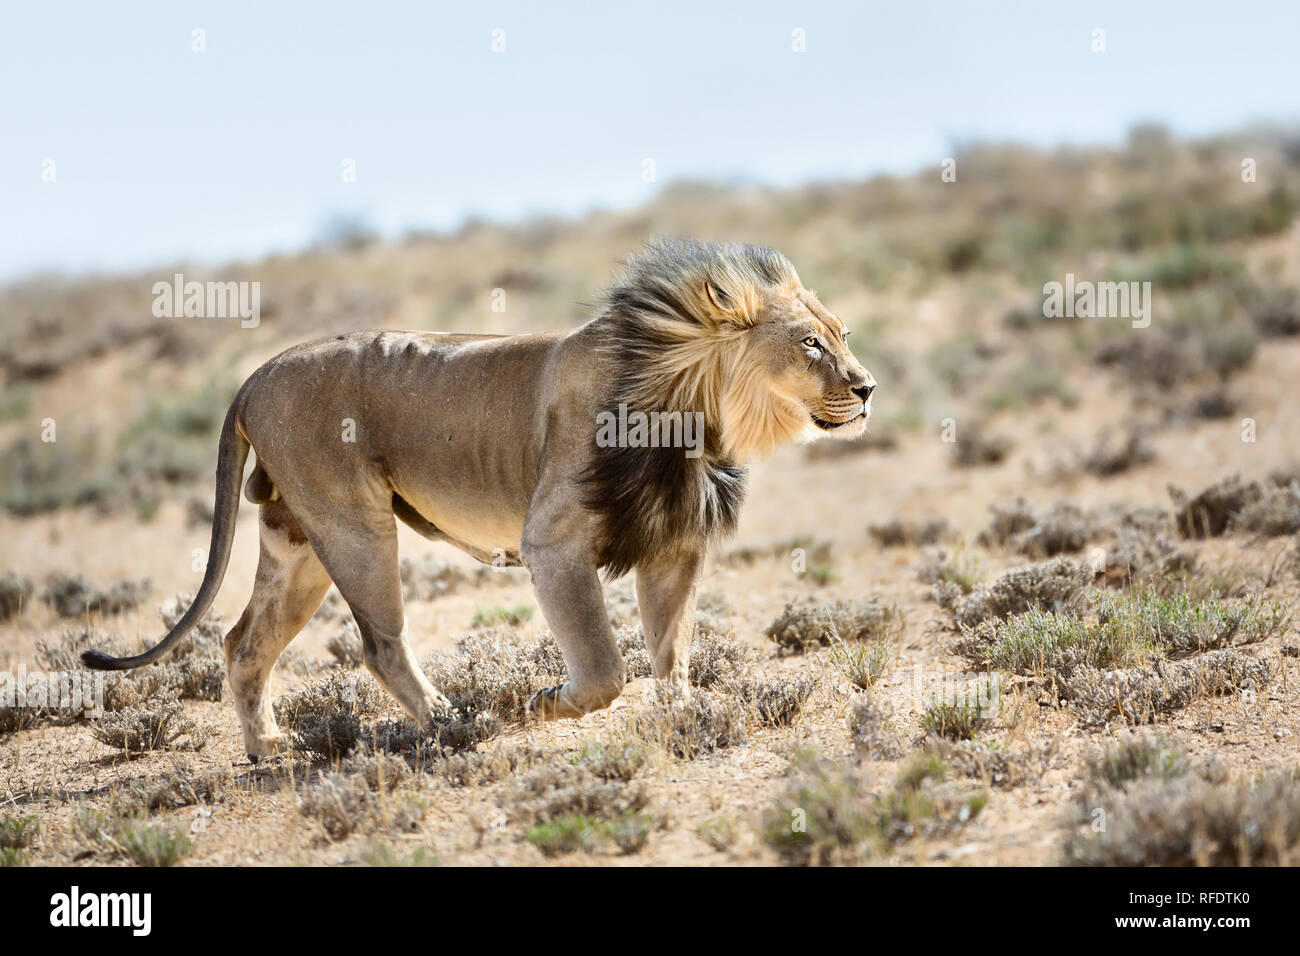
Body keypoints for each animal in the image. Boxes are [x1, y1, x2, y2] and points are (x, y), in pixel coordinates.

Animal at [82, 238, 876, 761]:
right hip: (354, 525)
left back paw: (267, 747)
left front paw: (684, 719)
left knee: (243, 640)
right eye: (810, 344)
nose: (867, 387)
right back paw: (454, 722)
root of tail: (253, 376)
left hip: (296, 540)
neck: (693, 410)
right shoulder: (552, 542)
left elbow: (671, 650)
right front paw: (547, 703)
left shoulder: (672, 546)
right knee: (380, 643)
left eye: (843, 334)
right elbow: (605, 667)